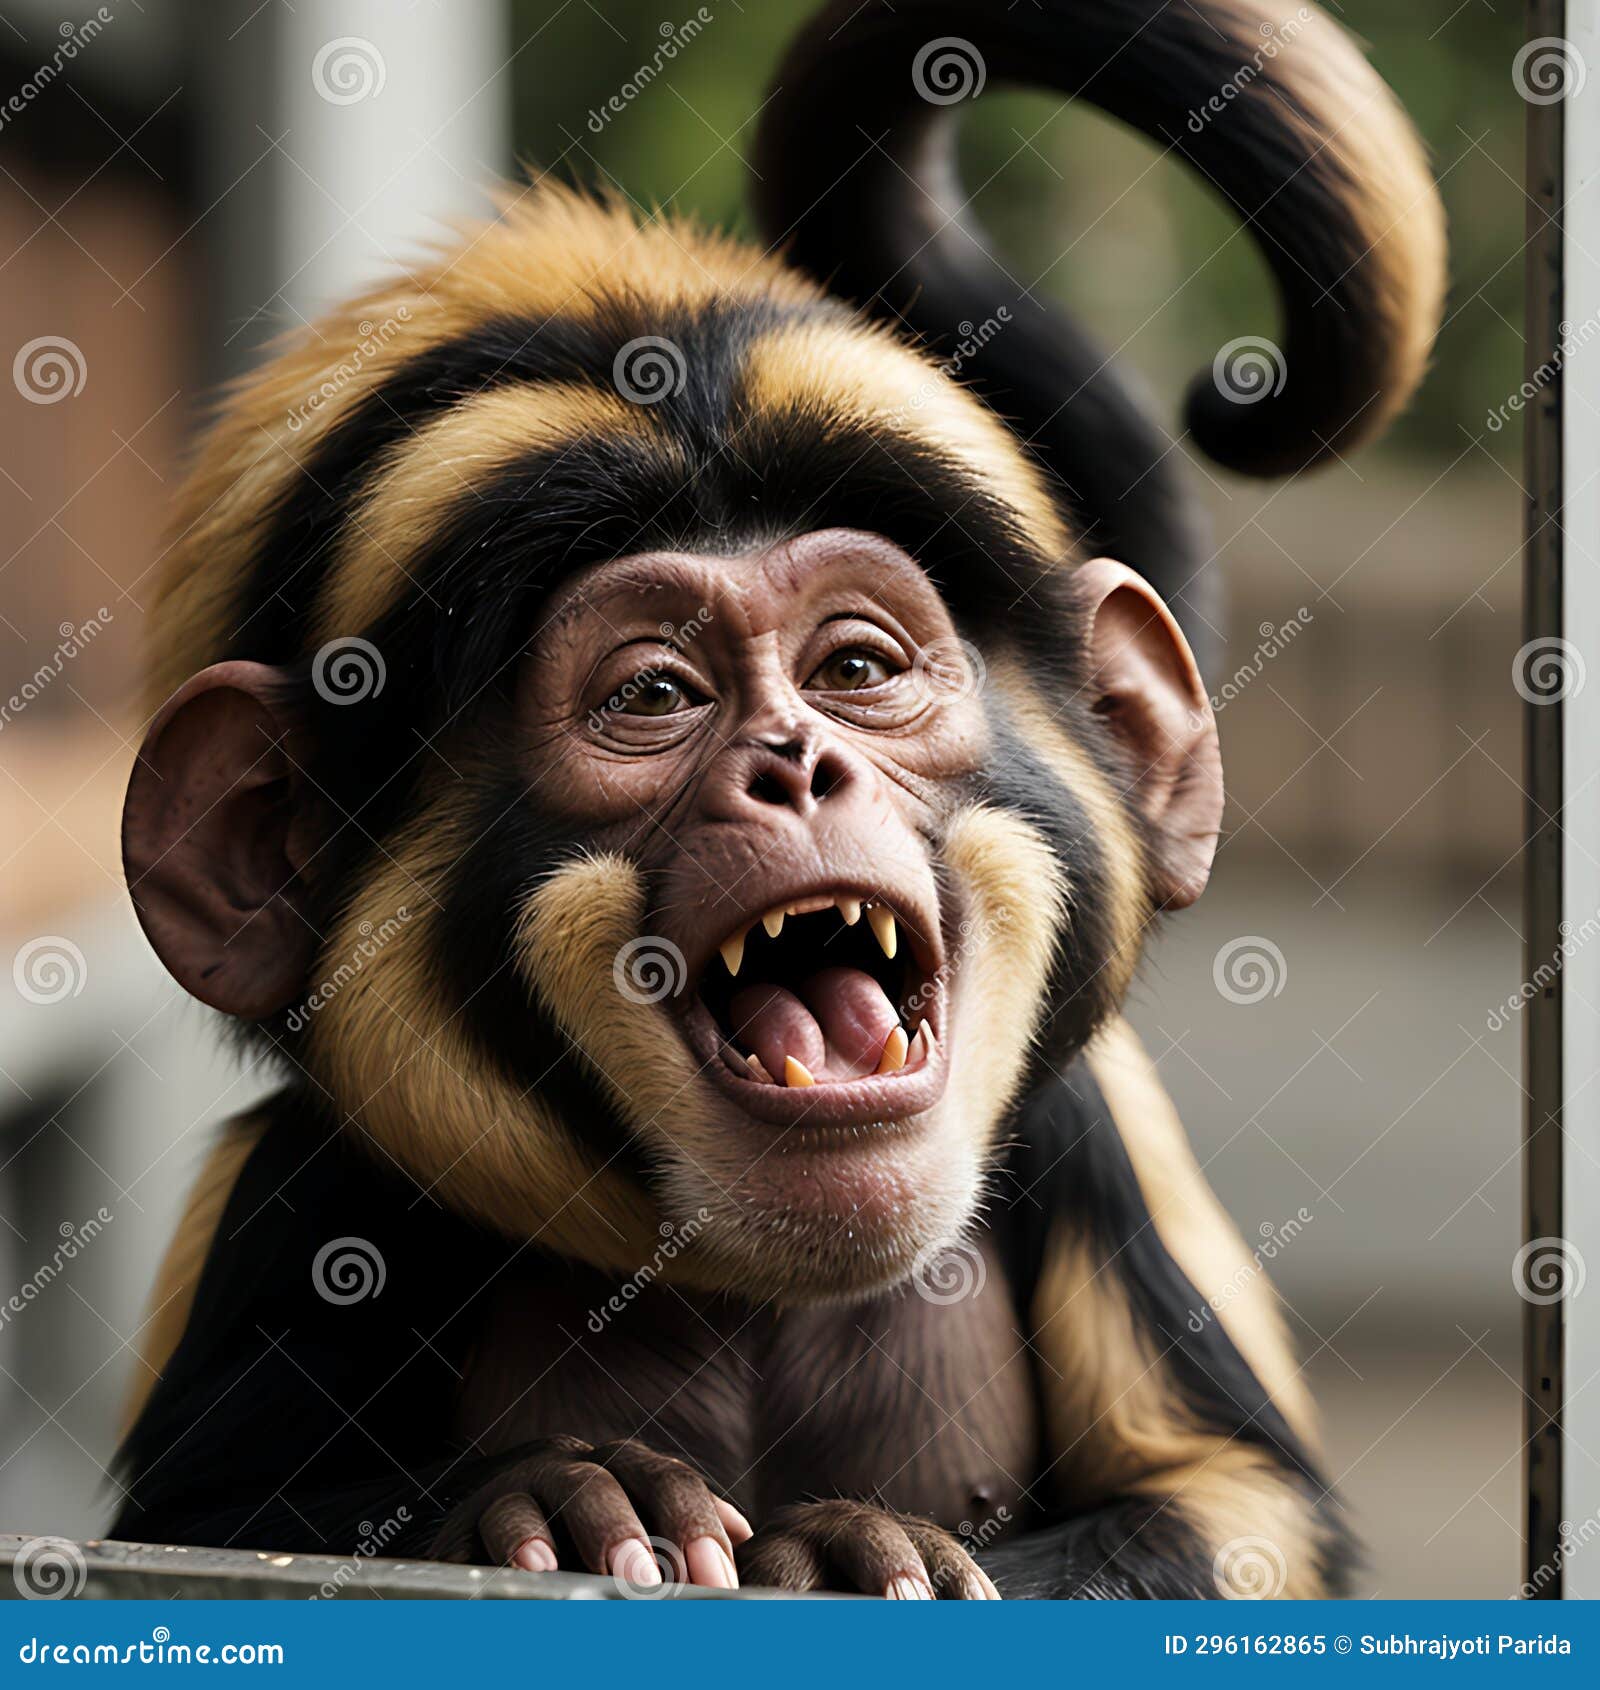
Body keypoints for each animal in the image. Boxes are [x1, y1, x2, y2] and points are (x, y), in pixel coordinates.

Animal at [109, 0, 1444, 1599]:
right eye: (651, 696)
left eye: (856, 666)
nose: (796, 762)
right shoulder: (302, 1208)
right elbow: (192, 1527)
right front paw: (546, 1500)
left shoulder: (1084, 1151)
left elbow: (1238, 1510)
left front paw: (874, 1547)